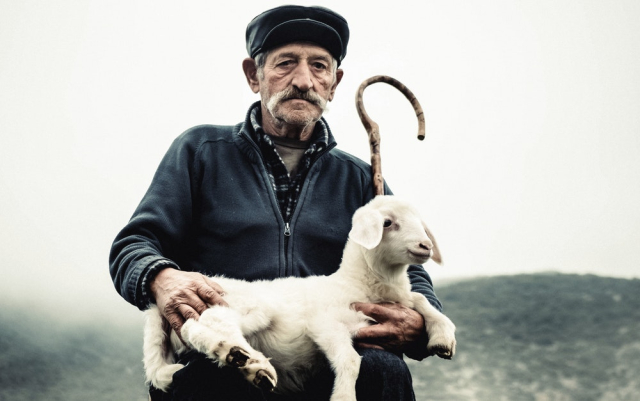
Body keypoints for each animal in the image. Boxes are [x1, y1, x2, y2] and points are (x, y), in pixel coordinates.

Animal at [143, 195, 456, 400]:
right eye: (388, 223)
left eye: (419, 222)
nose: (425, 246)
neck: (357, 283)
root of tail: (158, 308)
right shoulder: (324, 324)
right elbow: (350, 360)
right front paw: (344, 396)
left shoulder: (396, 302)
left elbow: (419, 301)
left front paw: (443, 339)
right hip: (248, 306)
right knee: (201, 324)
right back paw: (241, 356)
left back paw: (247, 365)